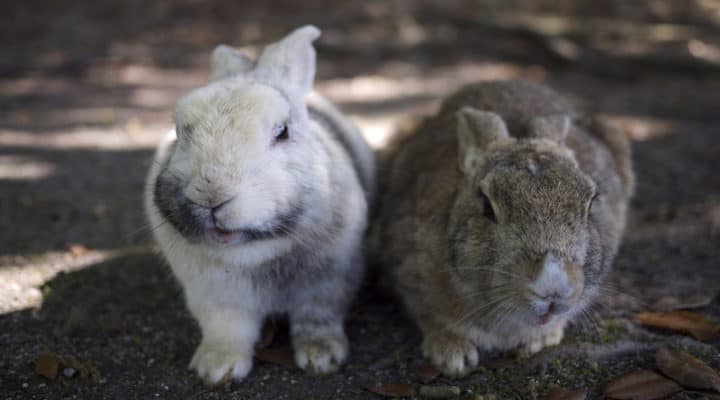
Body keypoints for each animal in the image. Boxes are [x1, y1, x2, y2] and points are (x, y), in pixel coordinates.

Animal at [143, 25, 375, 384]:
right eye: (180, 132)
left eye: (283, 132)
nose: (212, 193)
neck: (254, 251)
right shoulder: (215, 298)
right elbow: (227, 331)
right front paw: (216, 370)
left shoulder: (328, 284)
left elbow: (317, 319)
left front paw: (322, 358)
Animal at [375, 81, 633, 378]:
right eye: (487, 206)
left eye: (591, 203)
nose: (553, 289)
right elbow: (427, 314)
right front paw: (451, 355)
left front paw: (543, 339)